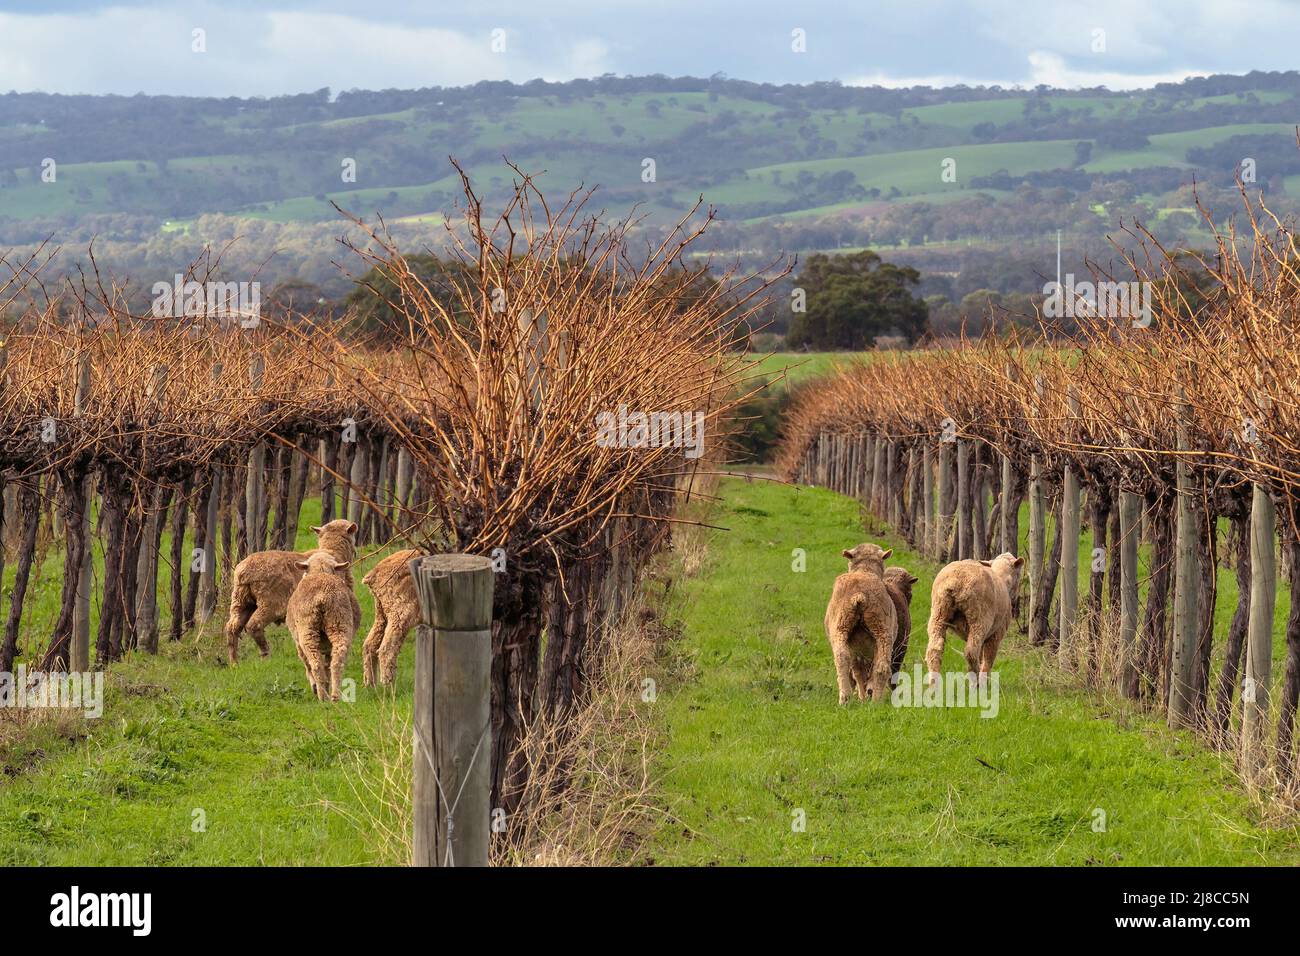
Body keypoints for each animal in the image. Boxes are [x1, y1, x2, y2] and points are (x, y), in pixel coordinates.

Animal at [224, 519, 359, 663]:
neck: (331, 551)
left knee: (232, 627)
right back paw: (265, 654)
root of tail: (244, 571)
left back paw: (234, 662)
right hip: (270, 603)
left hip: (241, 599)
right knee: (254, 625)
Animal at [286, 552, 357, 700]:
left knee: (315, 664)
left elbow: (307, 664)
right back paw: (334, 696)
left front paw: (314, 686)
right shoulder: (328, 647)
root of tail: (322, 596)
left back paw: (322, 695)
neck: (320, 571)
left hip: (307, 630)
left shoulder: (297, 643)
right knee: (336, 662)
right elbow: (327, 666)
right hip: (340, 624)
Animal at [360, 548, 421, 687]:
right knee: (386, 649)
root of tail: (373, 575)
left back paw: (370, 684)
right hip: (401, 611)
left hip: (381, 612)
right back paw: (389, 685)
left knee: (369, 645)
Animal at [824, 542, 897, 704]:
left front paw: (862, 697)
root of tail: (860, 595)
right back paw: (874, 701)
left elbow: (857, 673)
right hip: (881, 630)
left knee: (842, 658)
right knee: (881, 666)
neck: (865, 570)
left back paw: (847, 698)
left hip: (840, 627)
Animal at [924, 552, 1024, 685]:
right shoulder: (996, 634)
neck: (1002, 578)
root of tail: (956, 581)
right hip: (980, 619)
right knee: (971, 652)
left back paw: (934, 683)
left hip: (938, 612)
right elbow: (988, 659)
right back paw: (976, 682)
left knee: (934, 648)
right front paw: (985, 682)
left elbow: (982, 656)